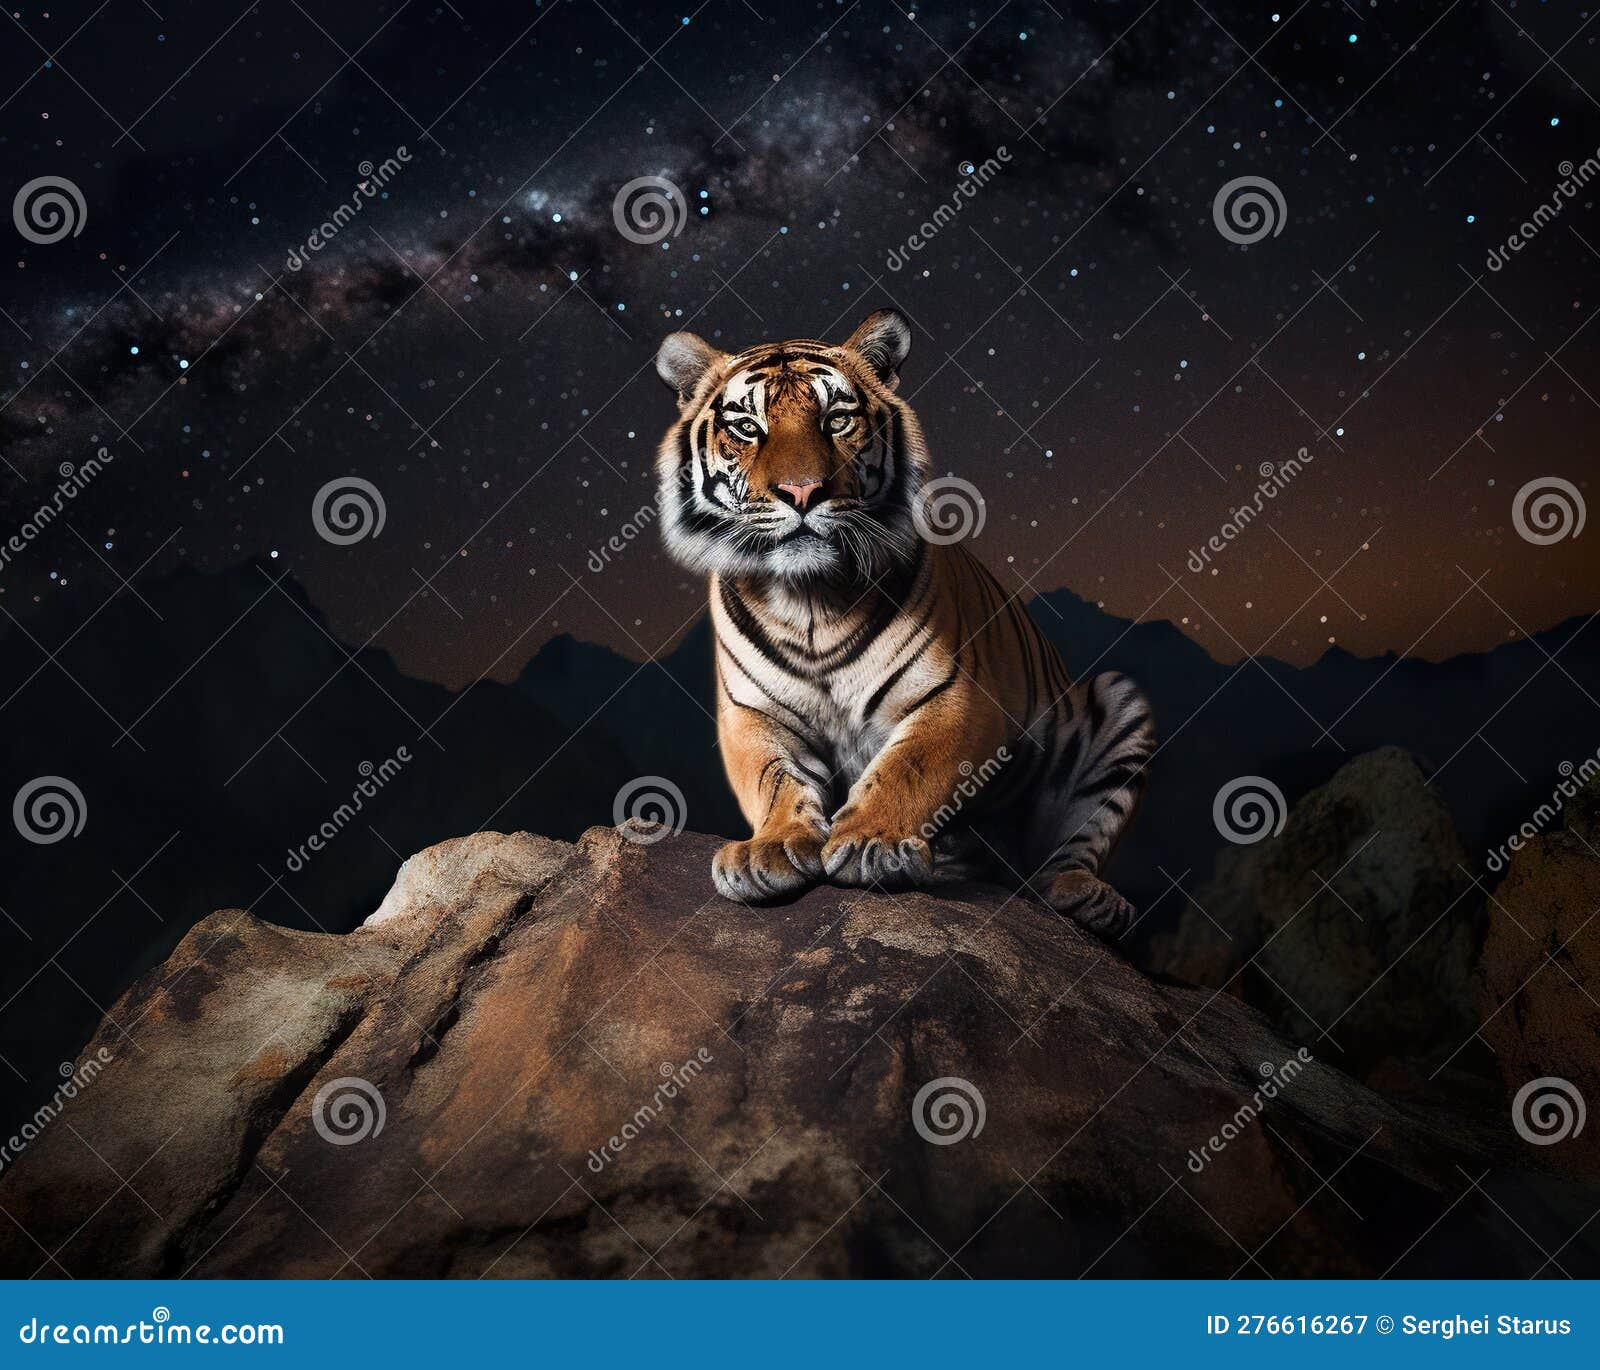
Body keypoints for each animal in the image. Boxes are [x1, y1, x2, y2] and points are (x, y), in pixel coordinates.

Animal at [653, 308, 1156, 938]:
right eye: (747, 427)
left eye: (837, 419)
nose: (801, 492)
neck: (809, 598)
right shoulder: (751, 715)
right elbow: (773, 779)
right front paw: (769, 848)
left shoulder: (956, 697)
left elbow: (906, 768)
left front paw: (872, 842)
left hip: (1119, 700)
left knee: (1067, 856)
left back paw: (1085, 898)